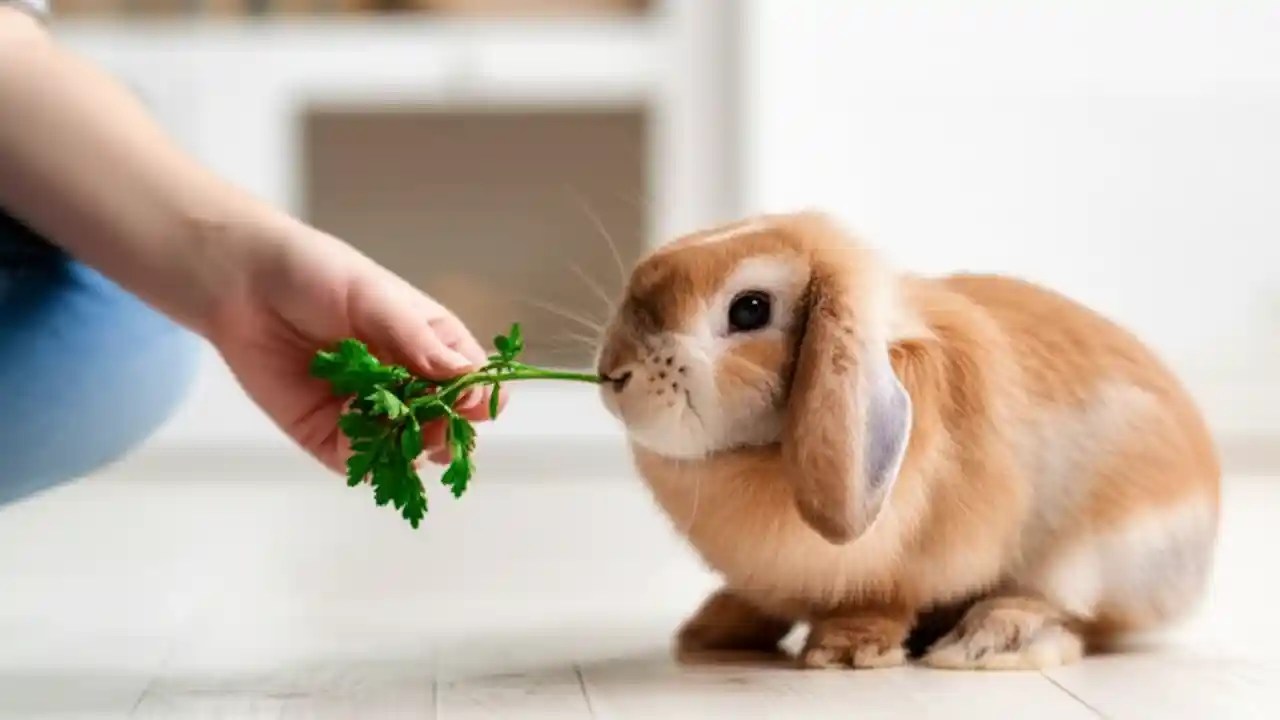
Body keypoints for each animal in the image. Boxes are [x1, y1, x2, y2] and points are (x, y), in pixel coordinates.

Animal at [594, 211, 1220, 670]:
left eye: (750, 309)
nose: (612, 372)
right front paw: (711, 632)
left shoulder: (900, 561)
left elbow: (883, 600)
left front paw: (844, 651)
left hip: (1094, 545)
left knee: (1069, 608)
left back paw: (985, 643)